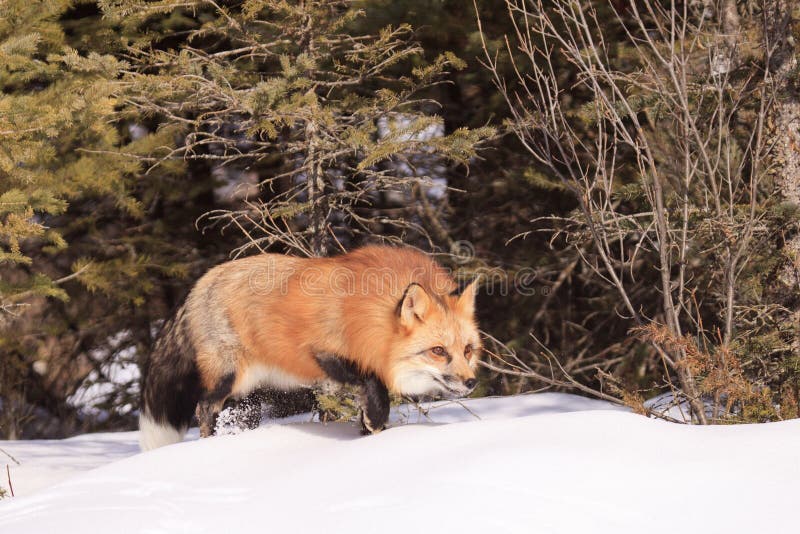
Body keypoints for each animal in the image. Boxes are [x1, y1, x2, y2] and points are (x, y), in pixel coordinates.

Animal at [139, 245, 481, 450]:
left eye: (467, 350)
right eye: (438, 351)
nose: (471, 382)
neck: (370, 315)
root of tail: (200, 283)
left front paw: (368, 435)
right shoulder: (321, 351)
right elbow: (372, 385)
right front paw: (376, 423)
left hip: (248, 393)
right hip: (228, 376)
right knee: (204, 408)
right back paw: (208, 445)